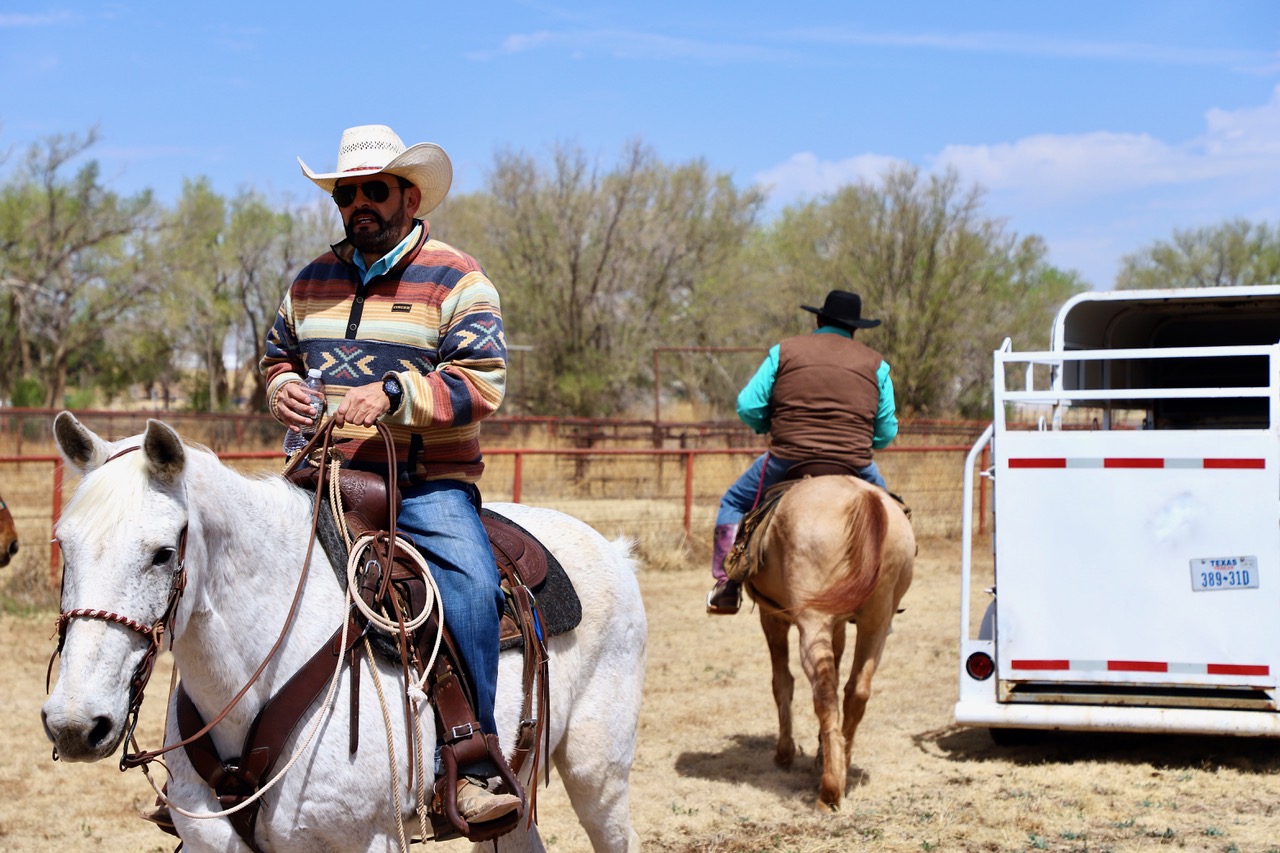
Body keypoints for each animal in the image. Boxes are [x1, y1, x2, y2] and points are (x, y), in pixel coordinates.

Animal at [41, 413, 647, 852]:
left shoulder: (371, 839)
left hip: (598, 775)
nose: (75, 724)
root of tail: (613, 550)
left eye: (163, 553)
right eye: (63, 544)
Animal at [739, 474, 914, 811]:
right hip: (877, 619)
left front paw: (785, 753)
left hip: (813, 620)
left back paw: (829, 790)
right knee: (856, 690)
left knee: (823, 689)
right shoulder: (841, 622)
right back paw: (841, 766)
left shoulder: (772, 616)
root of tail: (863, 497)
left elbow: (781, 682)